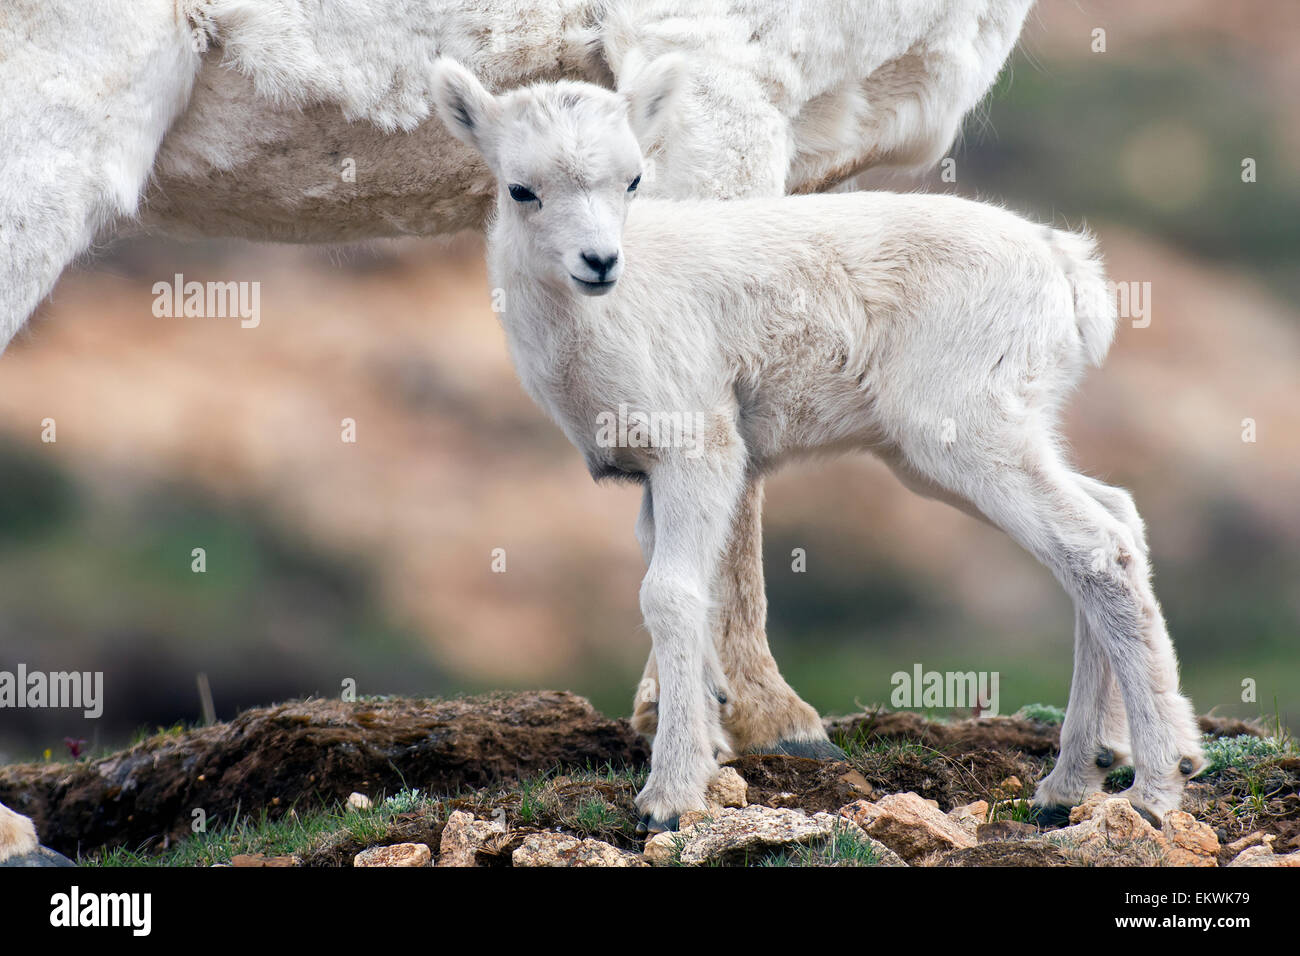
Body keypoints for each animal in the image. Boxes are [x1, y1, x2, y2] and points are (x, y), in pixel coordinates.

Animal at [430, 57, 1206, 831]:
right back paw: (1074, 781)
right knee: (1110, 522)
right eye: (521, 189)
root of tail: (1066, 267)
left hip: (965, 438)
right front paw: (712, 747)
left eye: (632, 180)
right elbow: (694, 595)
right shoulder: (656, 480)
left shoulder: (701, 456)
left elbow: (671, 596)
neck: (590, 329)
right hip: (972, 449)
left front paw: (670, 799)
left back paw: (1155, 787)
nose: (599, 263)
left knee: (1096, 548)